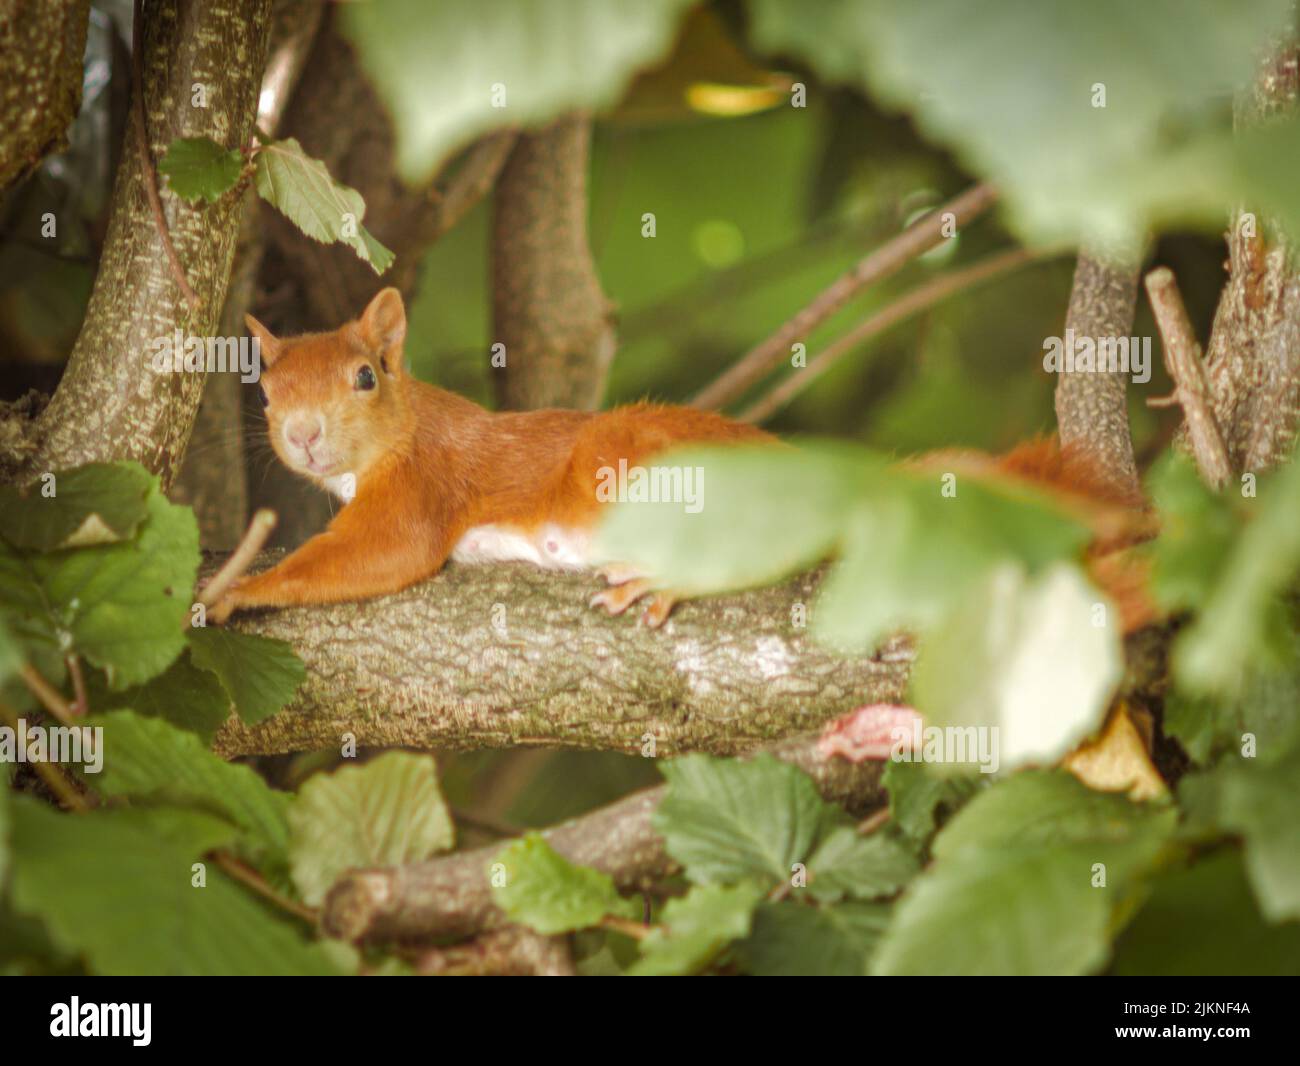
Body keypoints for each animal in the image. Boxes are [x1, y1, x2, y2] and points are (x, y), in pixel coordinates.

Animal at [211, 288, 1154, 631]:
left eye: (366, 377)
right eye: (266, 389)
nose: (302, 436)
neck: (410, 424)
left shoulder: (422, 485)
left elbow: (376, 552)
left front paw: (240, 589)